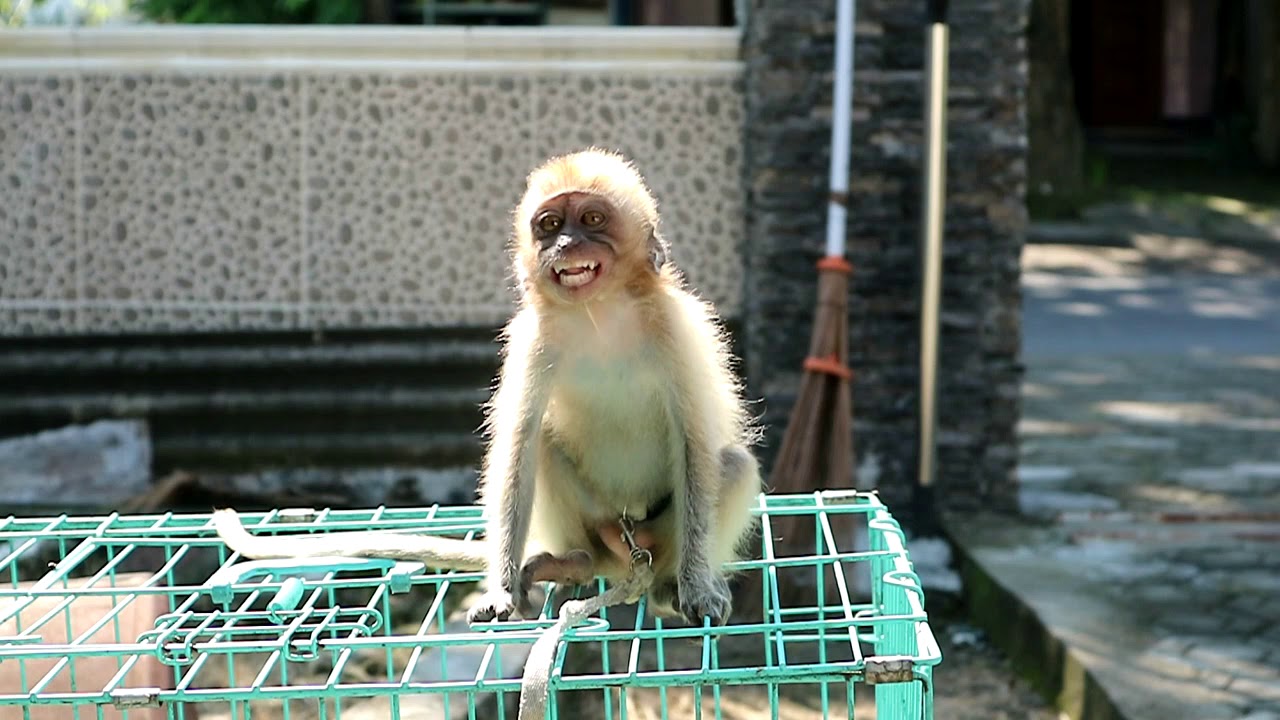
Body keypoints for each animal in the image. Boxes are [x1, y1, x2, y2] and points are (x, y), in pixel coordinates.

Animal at [213, 148, 763, 627]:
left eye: (591, 220)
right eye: (549, 226)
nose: (565, 246)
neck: (601, 314)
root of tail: (624, 553)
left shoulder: (678, 330)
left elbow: (694, 445)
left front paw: (696, 586)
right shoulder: (533, 341)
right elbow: (517, 448)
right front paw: (500, 588)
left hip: (655, 533)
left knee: (731, 466)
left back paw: (670, 582)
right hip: (600, 524)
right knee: (543, 448)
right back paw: (576, 562)